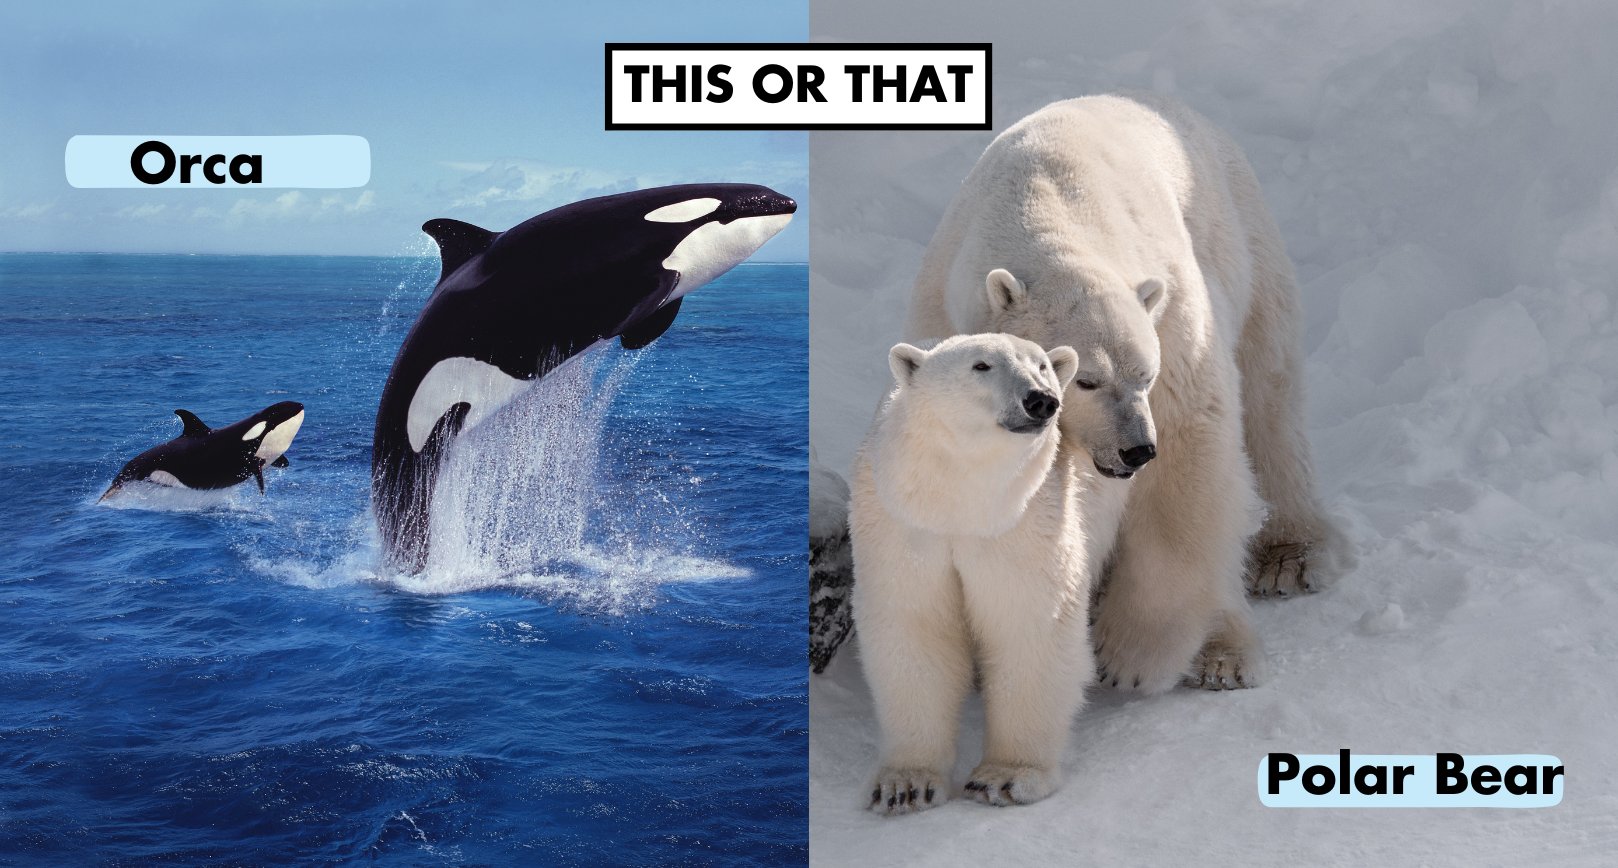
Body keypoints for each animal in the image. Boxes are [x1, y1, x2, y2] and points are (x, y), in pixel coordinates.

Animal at [850, 332, 1129, 813]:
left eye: (1042, 366)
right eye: (981, 365)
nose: (1041, 400)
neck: (964, 503)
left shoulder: (1026, 522)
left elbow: (1028, 628)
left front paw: (1005, 777)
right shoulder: (905, 524)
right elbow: (915, 630)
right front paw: (906, 785)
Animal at [904, 93, 1345, 694]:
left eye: (1146, 376)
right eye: (1084, 379)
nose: (1137, 450)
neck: (1048, 209)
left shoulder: (1172, 319)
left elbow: (1190, 450)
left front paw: (1133, 654)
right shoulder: (948, 323)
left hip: (1245, 245)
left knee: (1268, 400)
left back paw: (1262, 596)